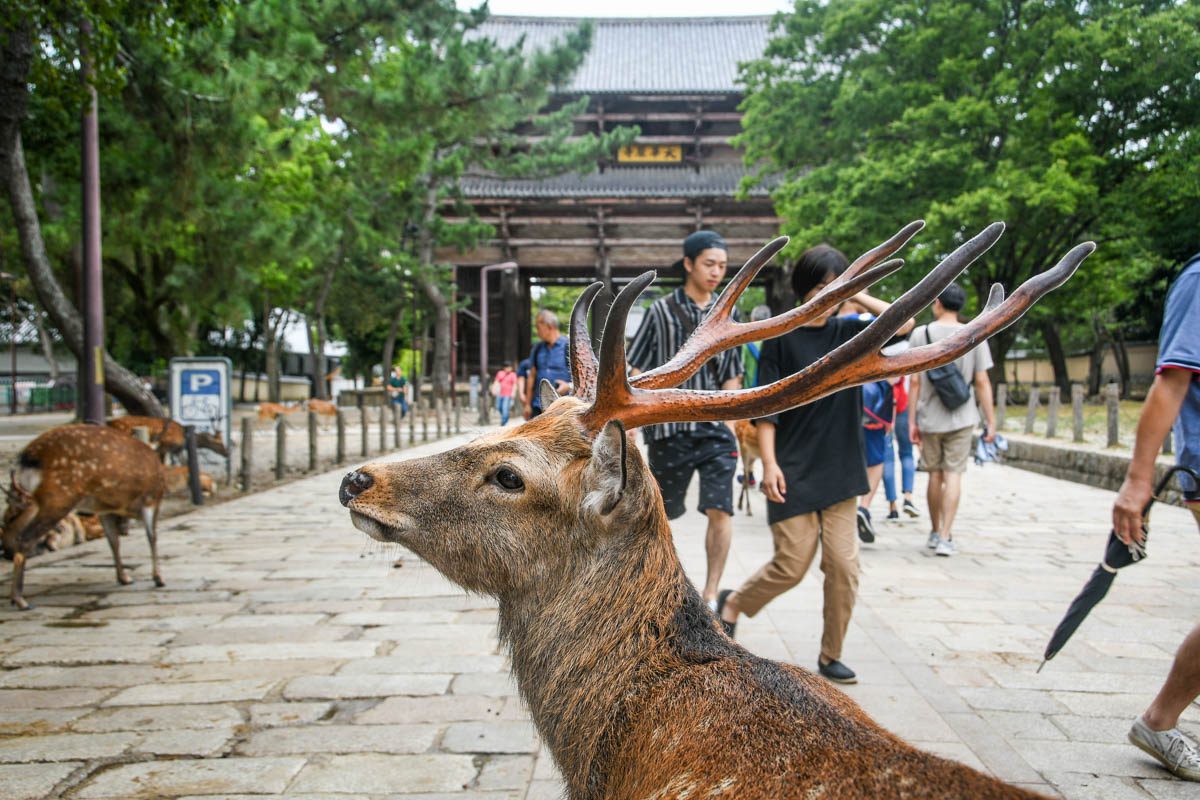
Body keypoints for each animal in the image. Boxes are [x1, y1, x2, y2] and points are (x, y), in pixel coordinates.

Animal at [2, 424, 168, 610]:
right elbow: (152, 537)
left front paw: (124, 578)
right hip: (59, 498)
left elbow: (114, 541)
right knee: (25, 538)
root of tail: (28, 458)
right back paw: (20, 600)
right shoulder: (152, 498)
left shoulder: (104, 509)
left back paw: (14, 597)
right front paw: (158, 579)